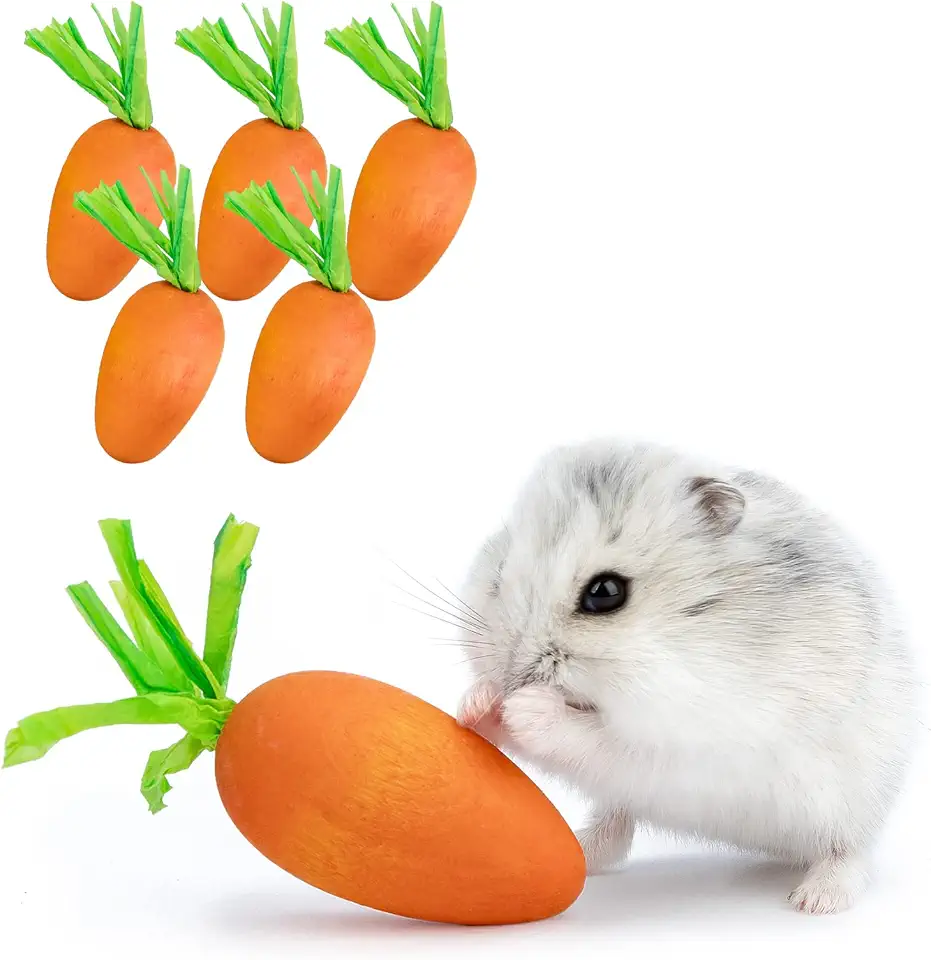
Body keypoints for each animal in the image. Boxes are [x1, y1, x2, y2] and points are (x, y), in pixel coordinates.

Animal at [455, 439, 918, 915]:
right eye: (499, 571)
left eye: (606, 592)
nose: (512, 679)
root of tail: (774, 846)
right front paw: (479, 701)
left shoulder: (687, 736)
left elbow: (595, 738)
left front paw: (525, 706)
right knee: (615, 834)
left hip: (852, 806)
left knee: (850, 851)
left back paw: (813, 900)